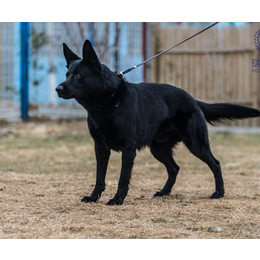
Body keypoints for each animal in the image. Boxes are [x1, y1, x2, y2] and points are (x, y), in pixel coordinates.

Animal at [56, 39, 260, 205]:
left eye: (78, 75)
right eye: (67, 74)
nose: (58, 89)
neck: (109, 102)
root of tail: (193, 100)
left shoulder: (128, 150)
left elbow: (123, 178)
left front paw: (117, 199)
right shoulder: (100, 148)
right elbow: (99, 177)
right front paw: (93, 197)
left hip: (196, 144)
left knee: (215, 164)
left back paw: (219, 192)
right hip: (158, 149)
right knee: (175, 168)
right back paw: (164, 192)